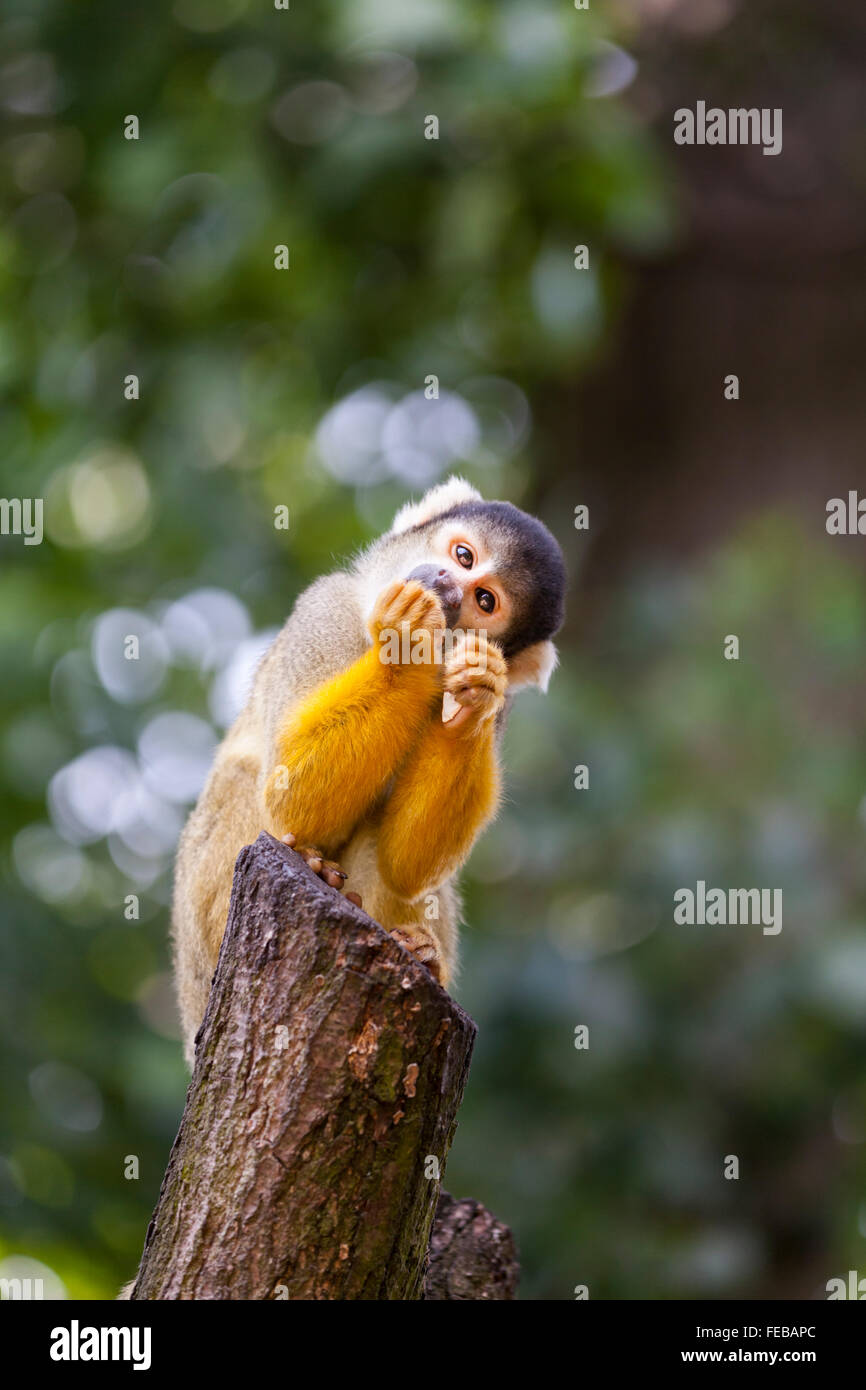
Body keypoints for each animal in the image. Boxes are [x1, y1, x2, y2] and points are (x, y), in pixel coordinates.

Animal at [171, 476, 566, 1066]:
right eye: (463, 556)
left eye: (485, 601)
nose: (447, 582)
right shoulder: (325, 606)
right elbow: (287, 792)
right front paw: (404, 643)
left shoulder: (503, 705)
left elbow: (408, 863)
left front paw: (467, 699)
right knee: (245, 784)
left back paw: (420, 955)